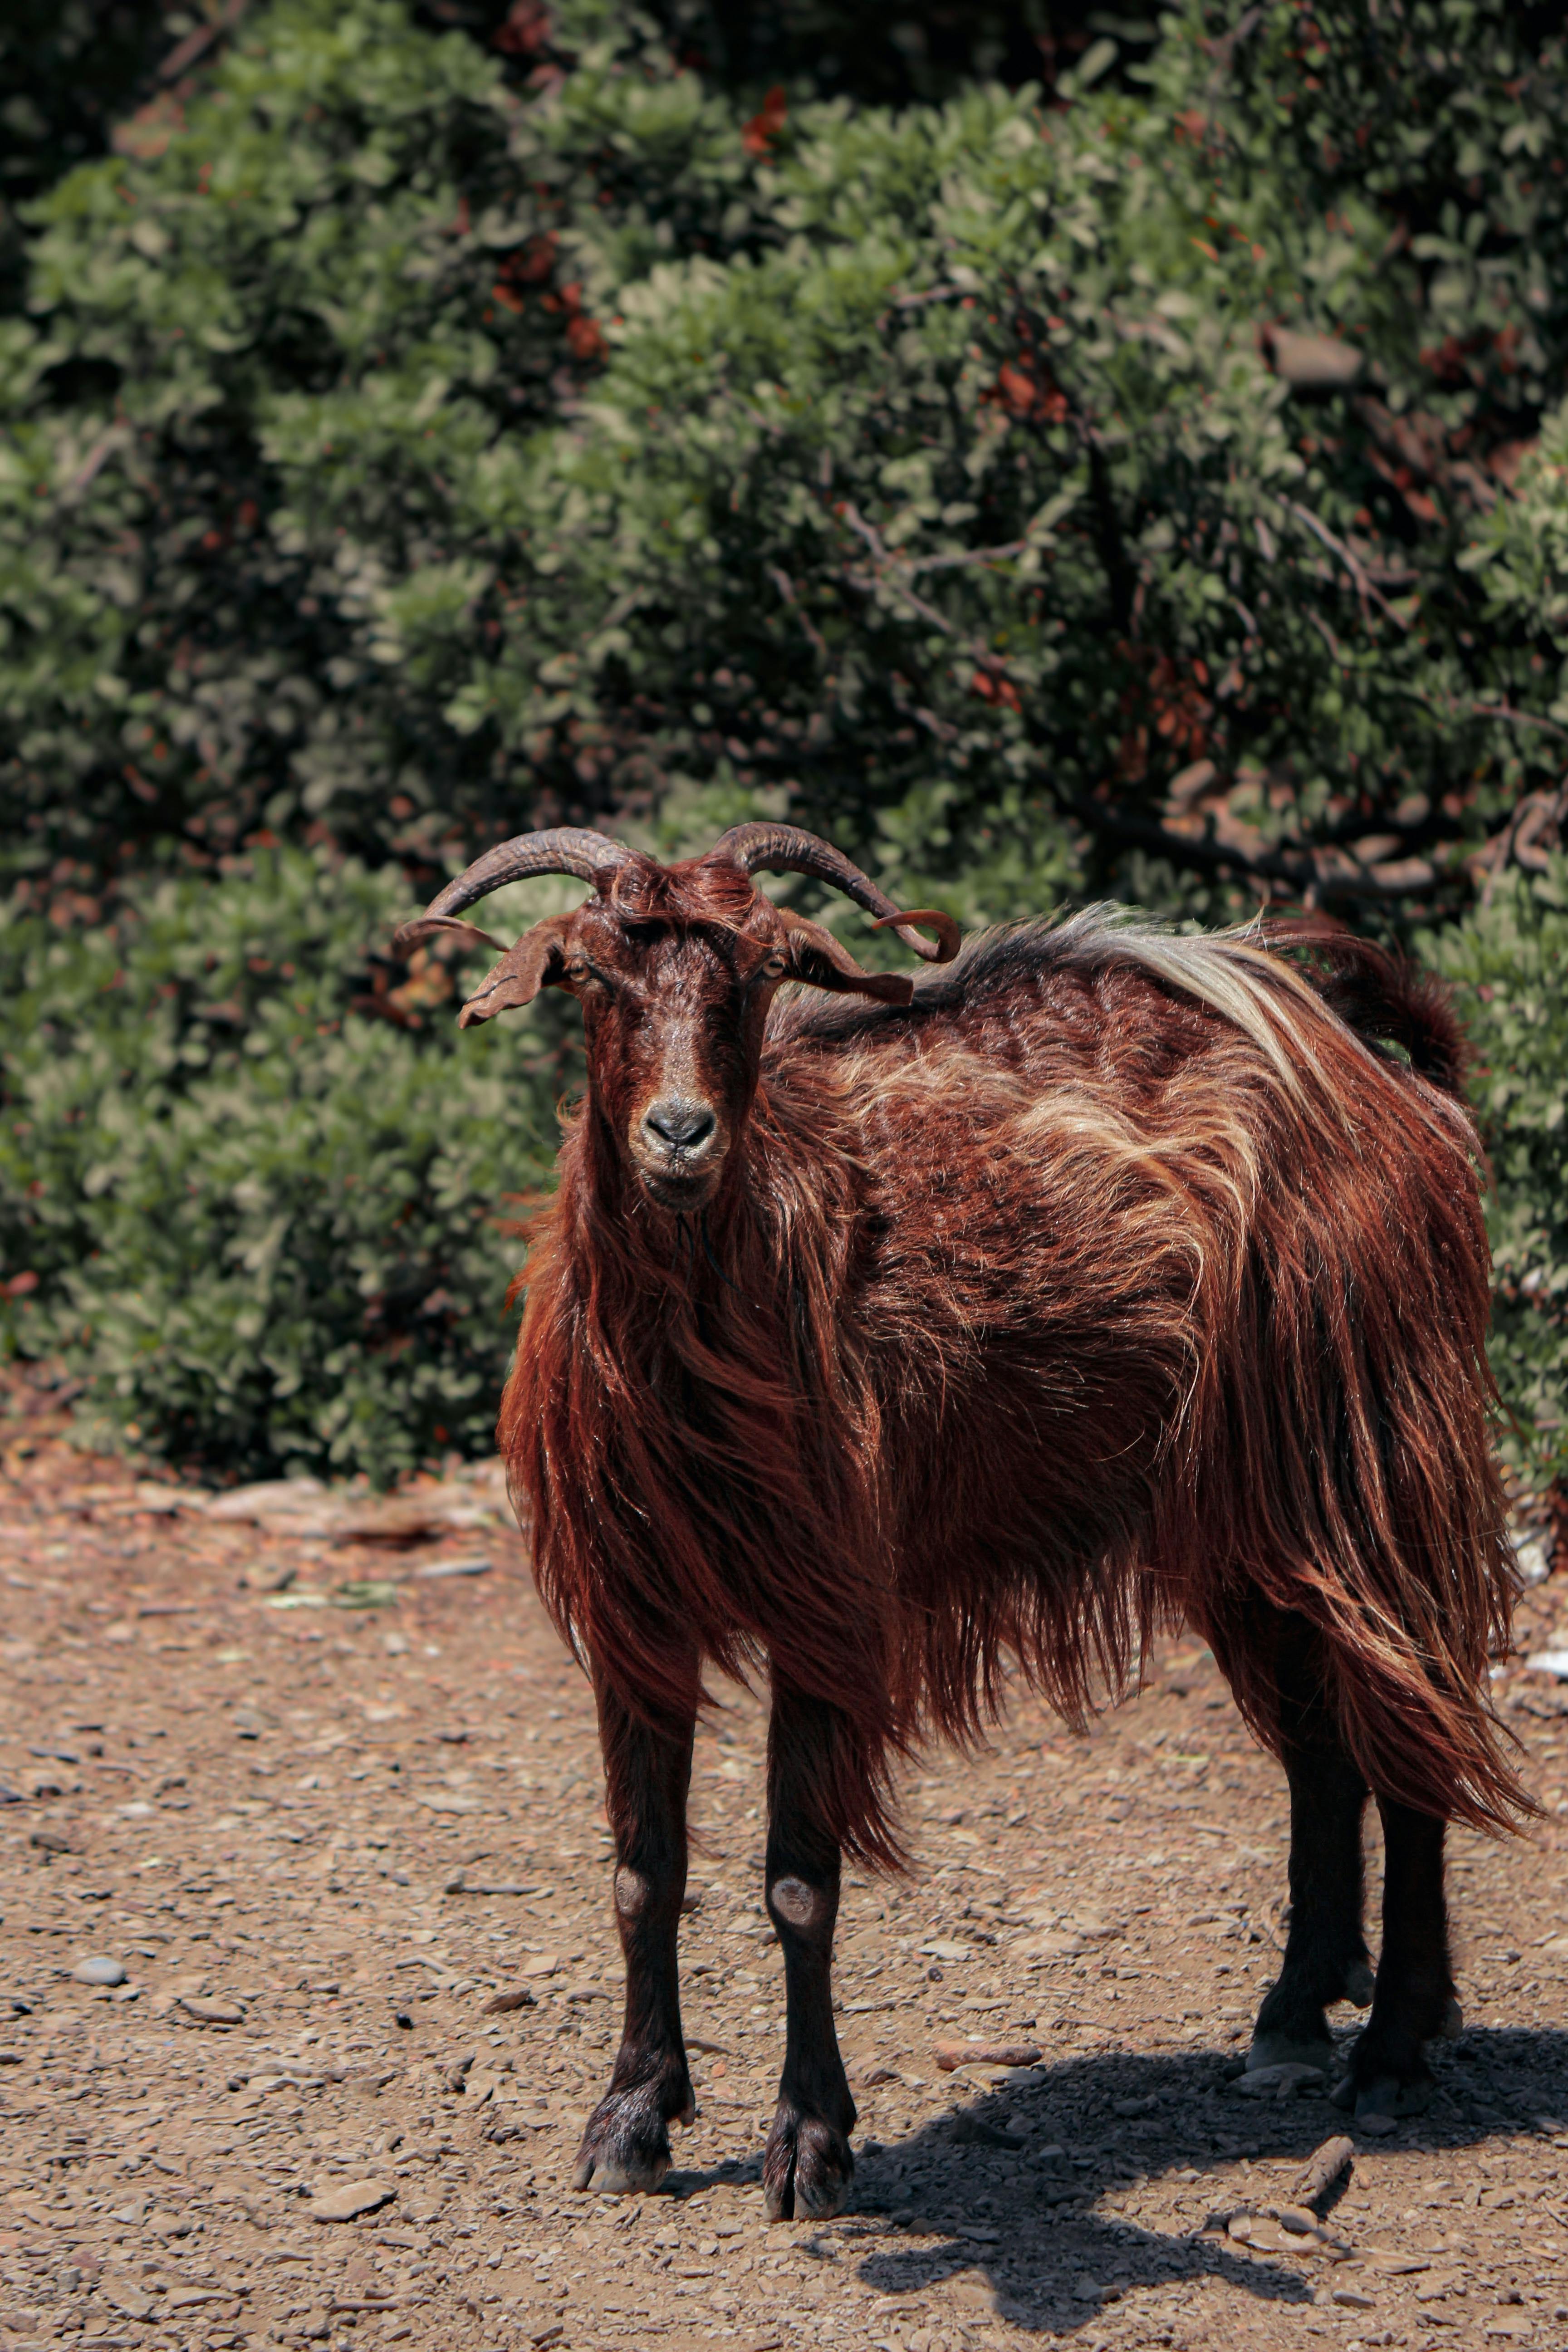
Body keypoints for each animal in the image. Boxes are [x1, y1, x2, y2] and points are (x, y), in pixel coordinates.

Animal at [398, 823, 1525, 2220]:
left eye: (758, 975)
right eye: (592, 974)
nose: (681, 1132)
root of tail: (1406, 1094)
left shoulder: (828, 1602)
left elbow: (798, 1881)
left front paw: (808, 2141)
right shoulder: (634, 1617)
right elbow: (639, 1869)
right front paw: (631, 2117)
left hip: (1365, 1461)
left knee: (1408, 1734)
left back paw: (1389, 2052)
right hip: (1242, 1525)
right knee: (1325, 1752)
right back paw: (1289, 2021)